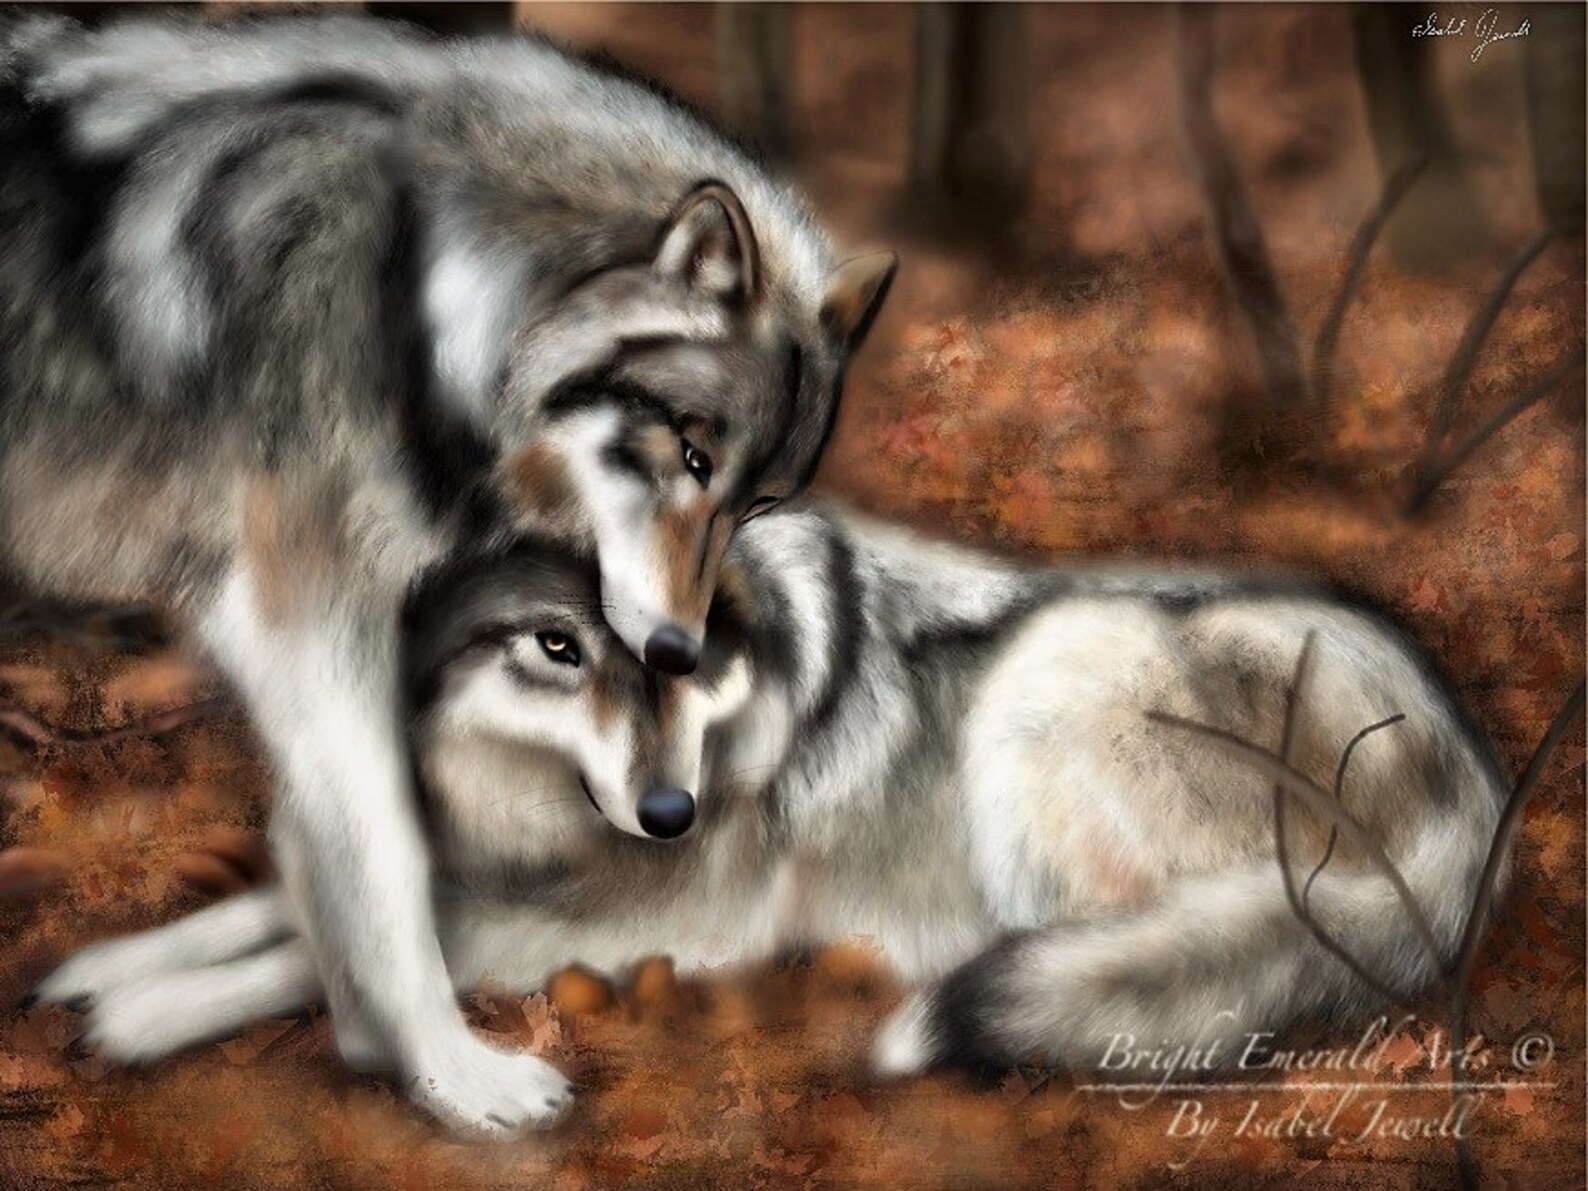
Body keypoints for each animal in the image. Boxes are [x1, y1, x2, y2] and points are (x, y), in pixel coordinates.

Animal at [2, 13, 895, 1133]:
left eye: (755, 504)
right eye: (692, 457)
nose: (679, 649)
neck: (423, 290)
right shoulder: (302, 629)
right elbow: (387, 865)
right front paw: (451, 1074)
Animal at [37, 502, 1508, 1104]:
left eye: (683, 653)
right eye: (558, 647)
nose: (673, 814)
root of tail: (1473, 779)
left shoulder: (591, 924)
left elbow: (323, 952)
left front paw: (142, 1016)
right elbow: (282, 906)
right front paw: (106, 970)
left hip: (1045, 679)